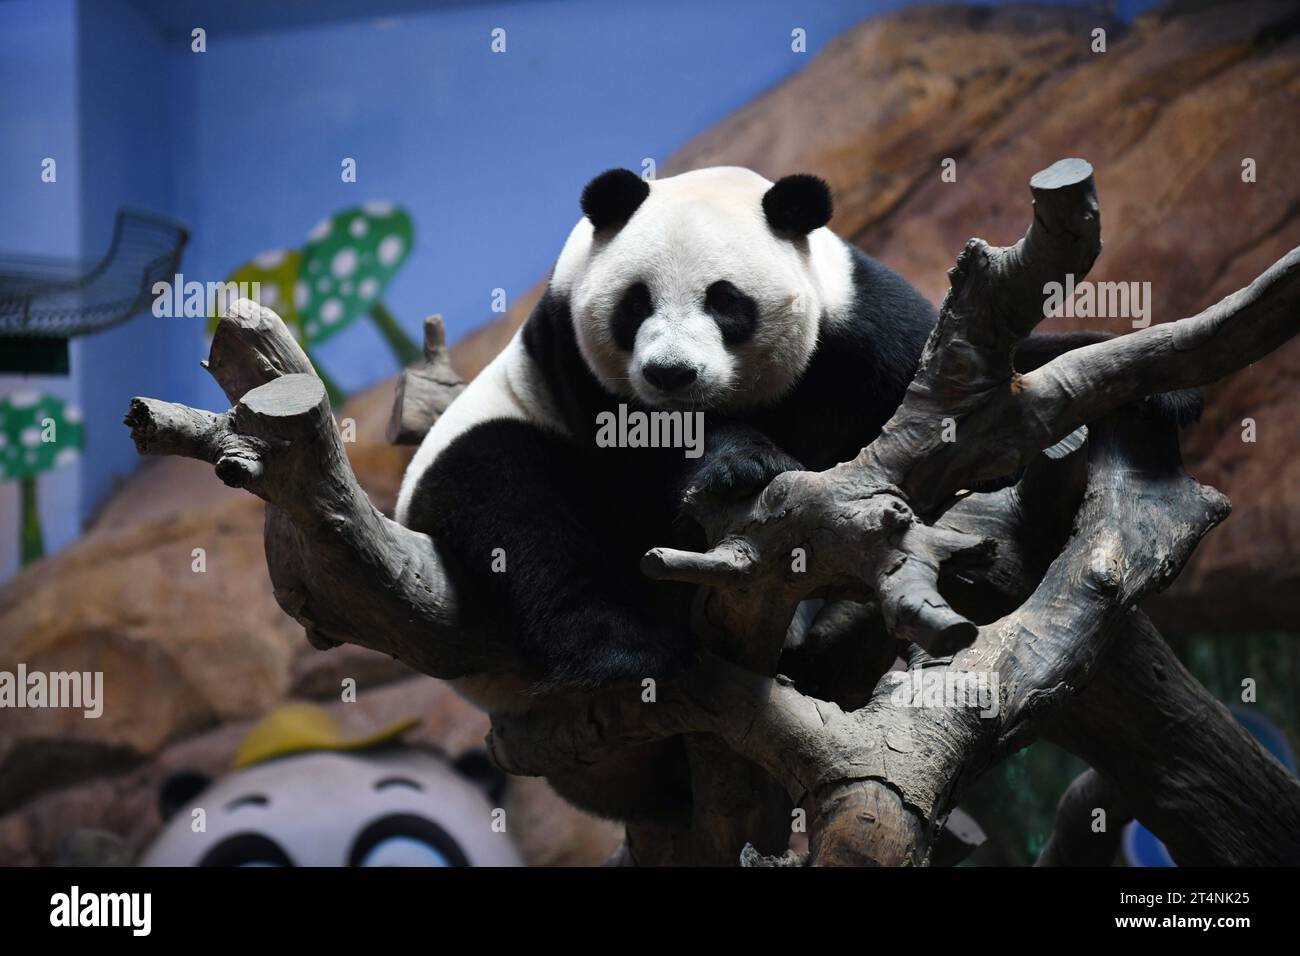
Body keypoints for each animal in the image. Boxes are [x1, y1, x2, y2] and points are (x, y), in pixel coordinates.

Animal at [395, 166, 1199, 715]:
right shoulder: (574, 365)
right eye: (634, 304)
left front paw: (1165, 384)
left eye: (725, 302)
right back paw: (629, 649)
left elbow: (968, 375)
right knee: (515, 512)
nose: (670, 372)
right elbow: (636, 459)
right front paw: (741, 463)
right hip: (486, 442)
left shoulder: (861, 327)